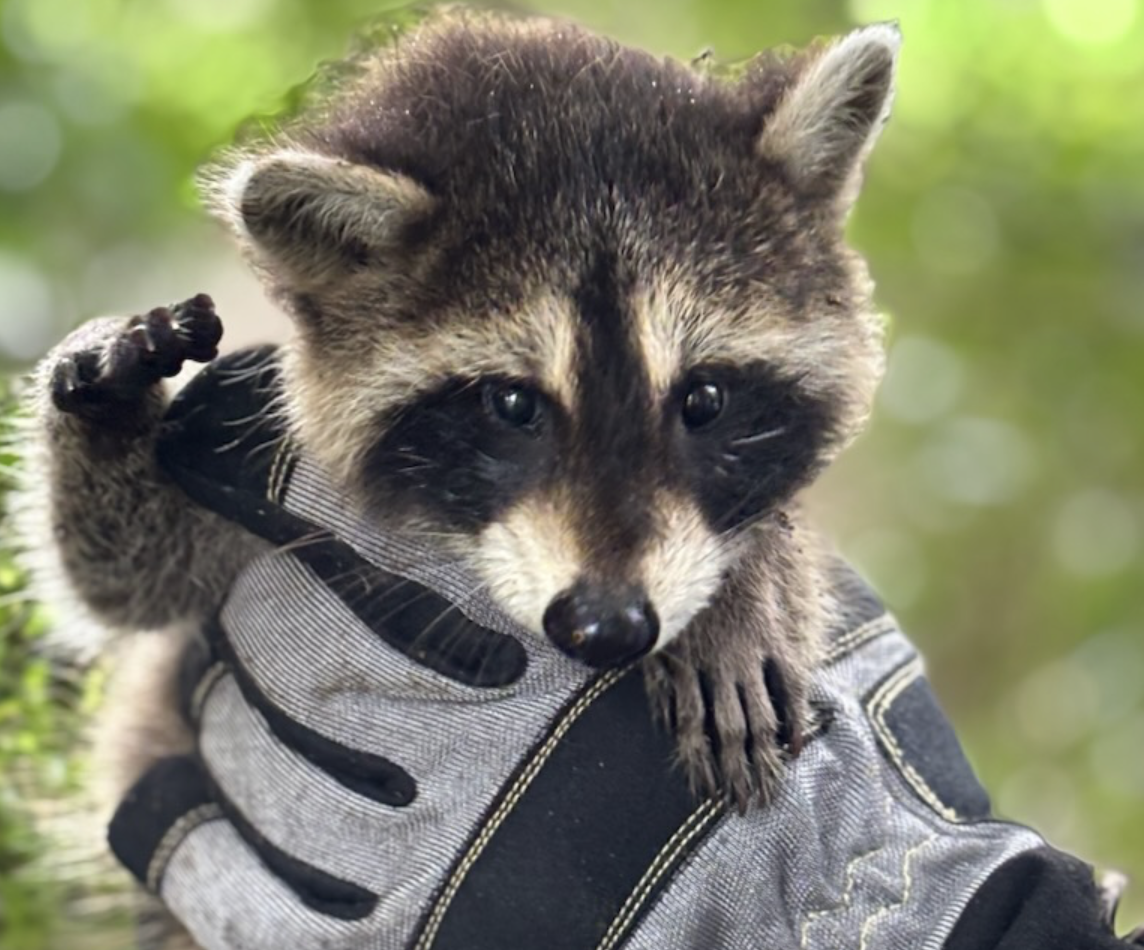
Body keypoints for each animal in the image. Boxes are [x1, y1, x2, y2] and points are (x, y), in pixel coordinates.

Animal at [18, 6, 896, 826]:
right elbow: (128, 582)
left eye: (703, 400)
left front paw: (748, 584)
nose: (607, 626)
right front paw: (105, 401)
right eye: (512, 404)